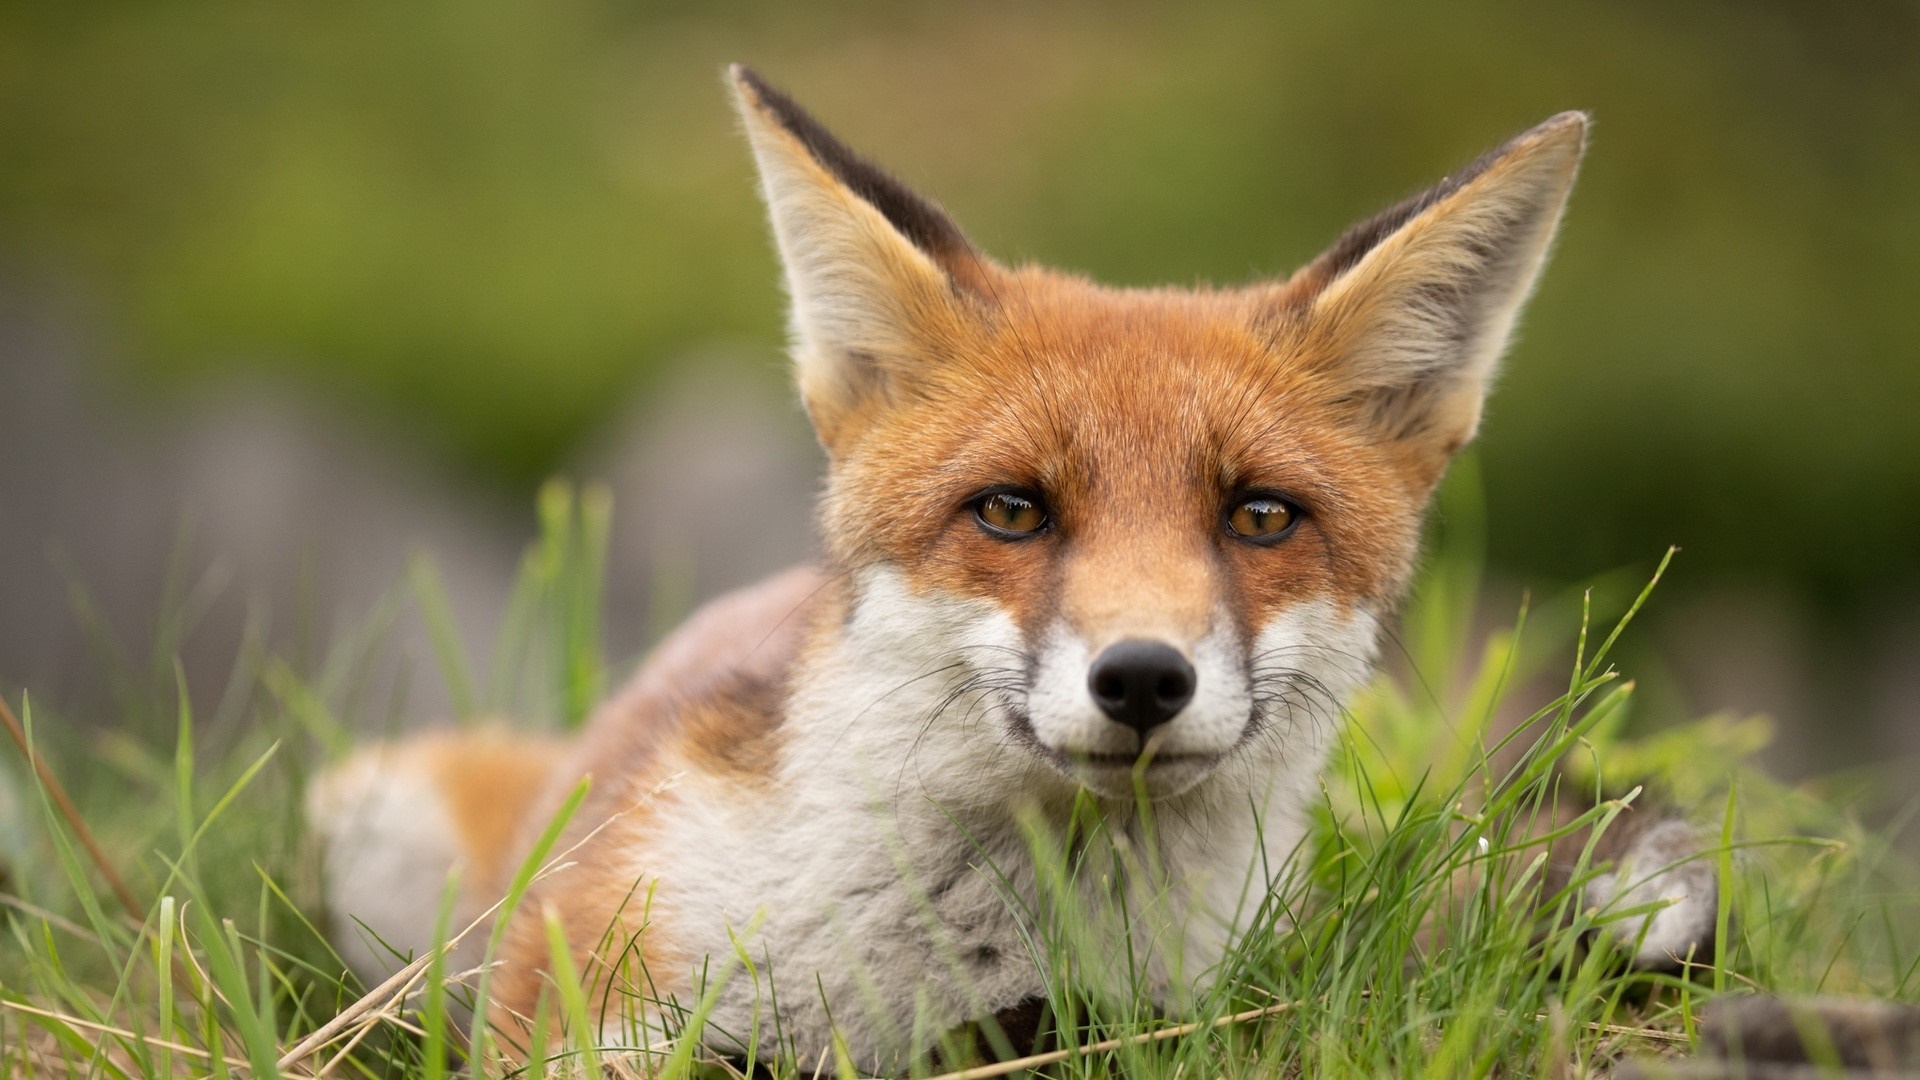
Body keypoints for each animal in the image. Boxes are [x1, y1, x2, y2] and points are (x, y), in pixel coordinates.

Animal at [307, 67, 1724, 1069]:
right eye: (1011, 511)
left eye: (1261, 517)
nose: (1142, 679)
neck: (956, 958)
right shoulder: (599, 1001)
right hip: (372, 822)